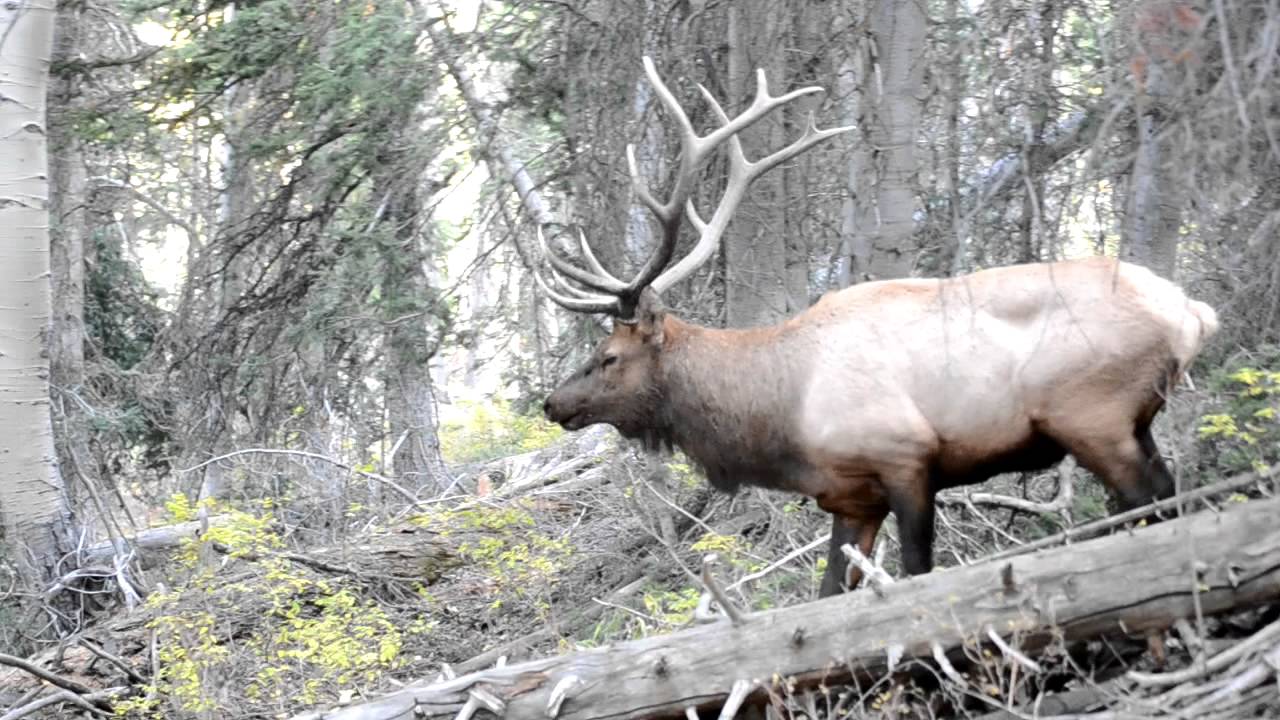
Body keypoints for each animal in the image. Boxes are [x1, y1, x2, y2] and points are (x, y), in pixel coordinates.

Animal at [536, 57, 1220, 597]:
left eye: (609, 355)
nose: (551, 403)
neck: (782, 412)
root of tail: (1192, 312)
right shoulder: (850, 496)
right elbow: (827, 595)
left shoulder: (906, 455)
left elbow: (917, 572)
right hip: (1131, 420)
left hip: (1092, 412)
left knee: (1154, 500)